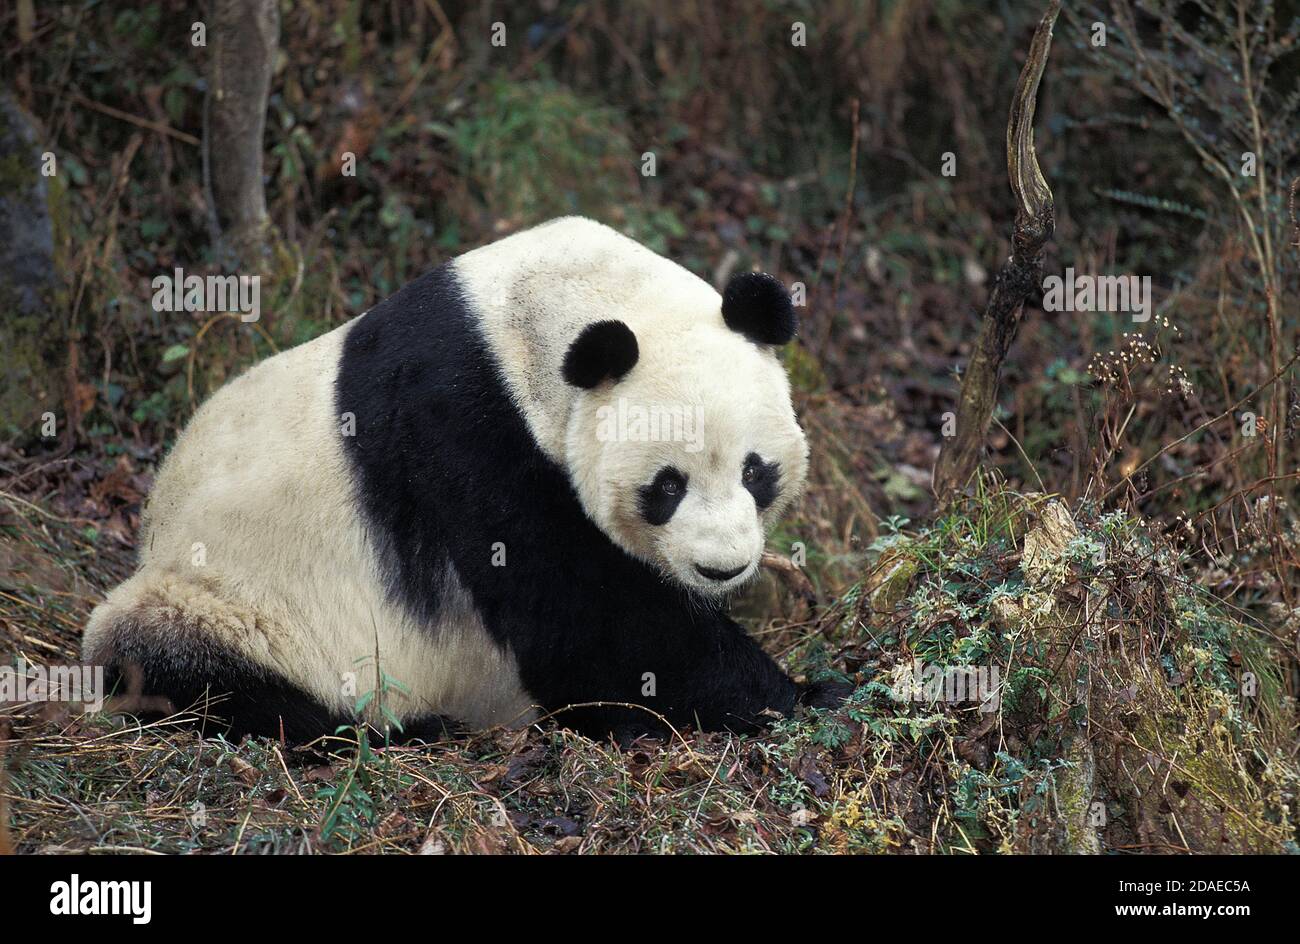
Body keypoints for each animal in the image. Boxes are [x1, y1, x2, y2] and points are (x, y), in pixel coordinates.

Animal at [84, 216, 832, 744]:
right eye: (666, 486)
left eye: (755, 472)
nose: (721, 569)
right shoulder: (468, 434)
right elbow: (591, 626)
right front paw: (795, 696)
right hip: (227, 597)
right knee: (183, 669)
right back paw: (399, 731)